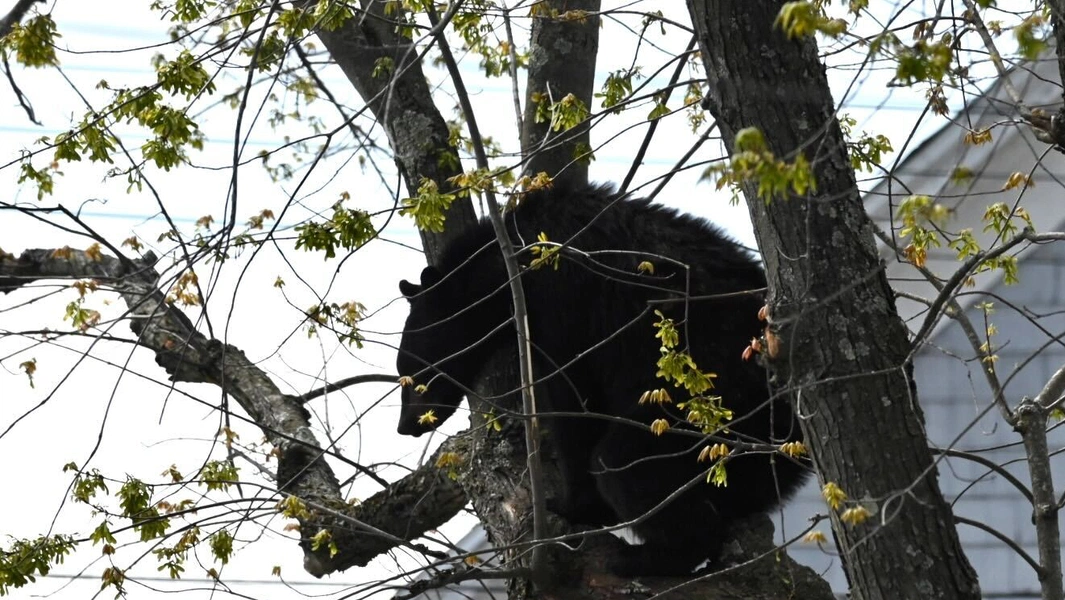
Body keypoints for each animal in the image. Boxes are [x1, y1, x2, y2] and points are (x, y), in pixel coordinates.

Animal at [395, 182, 809, 576]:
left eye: (409, 373)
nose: (405, 426)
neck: (506, 270)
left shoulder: (562, 307)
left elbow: (573, 404)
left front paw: (570, 505)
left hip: (700, 397)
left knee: (623, 463)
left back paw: (643, 558)